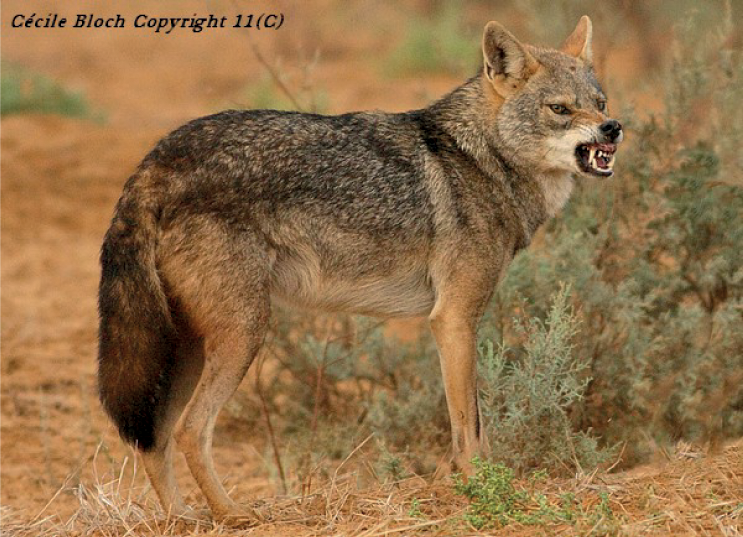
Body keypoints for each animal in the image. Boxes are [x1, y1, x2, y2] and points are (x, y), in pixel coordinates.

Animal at [98, 16, 623, 521]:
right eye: (560, 109)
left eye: (599, 103)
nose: (613, 128)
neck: (480, 159)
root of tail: (154, 161)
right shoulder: (452, 319)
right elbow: (468, 428)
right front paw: (482, 490)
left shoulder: (459, 321)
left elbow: (477, 424)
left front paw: (486, 483)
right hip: (244, 333)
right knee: (190, 431)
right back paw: (231, 514)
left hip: (188, 345)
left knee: (153, 439)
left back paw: (182, 517)